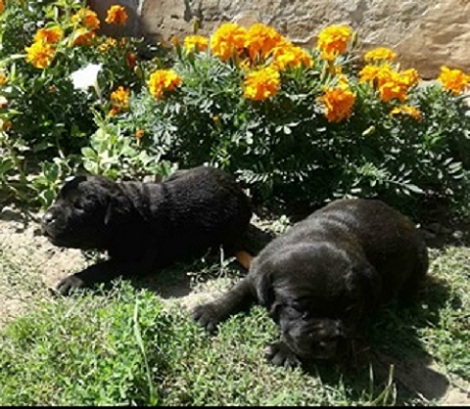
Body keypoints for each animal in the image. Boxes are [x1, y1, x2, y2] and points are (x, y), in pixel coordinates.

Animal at [40, 164, 253, 294]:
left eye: (80, 207)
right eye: (58, 197)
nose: (46, 218)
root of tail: (239, 190)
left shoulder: (134, 260)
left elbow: (102, 267)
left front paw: (74, 281)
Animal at [192, 198, 430, 366]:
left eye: (349, 310)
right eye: (299, 309)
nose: (329, 341)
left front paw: (283, 349)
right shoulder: (257, 272)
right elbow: (237, 291)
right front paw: (210, 311)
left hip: (421, 258)